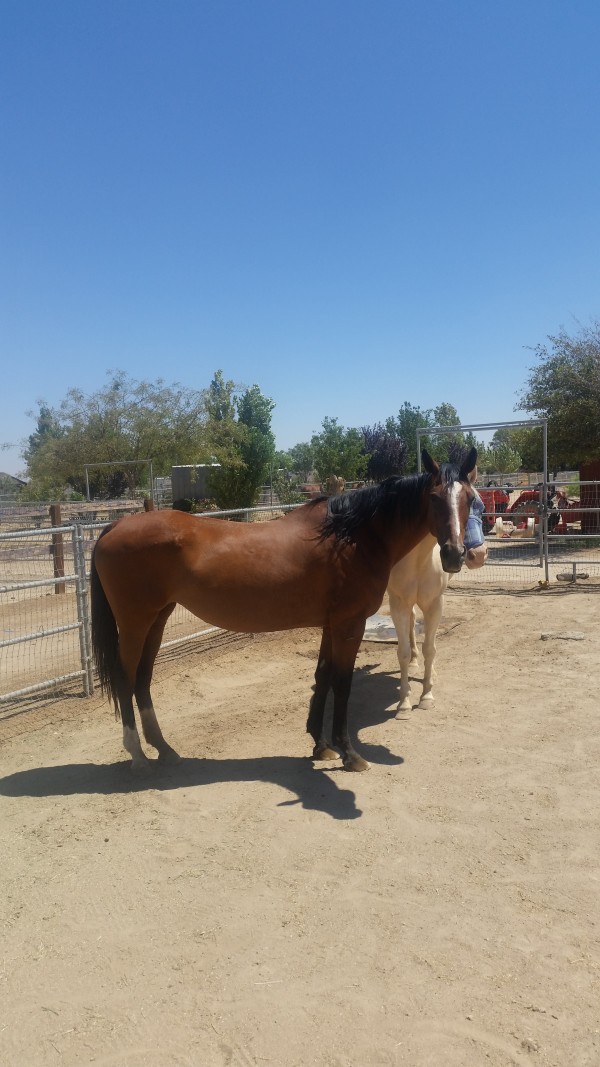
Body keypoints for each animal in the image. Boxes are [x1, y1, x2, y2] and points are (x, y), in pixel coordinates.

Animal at [388, 492, 487, 713]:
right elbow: (403, 651)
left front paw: (426, 696)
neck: (417, 560)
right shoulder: (398, 604)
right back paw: (415, 662)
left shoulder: (434, 604)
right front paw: (404, 704)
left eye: (481, 506)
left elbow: (430, 648)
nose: (479, 555)